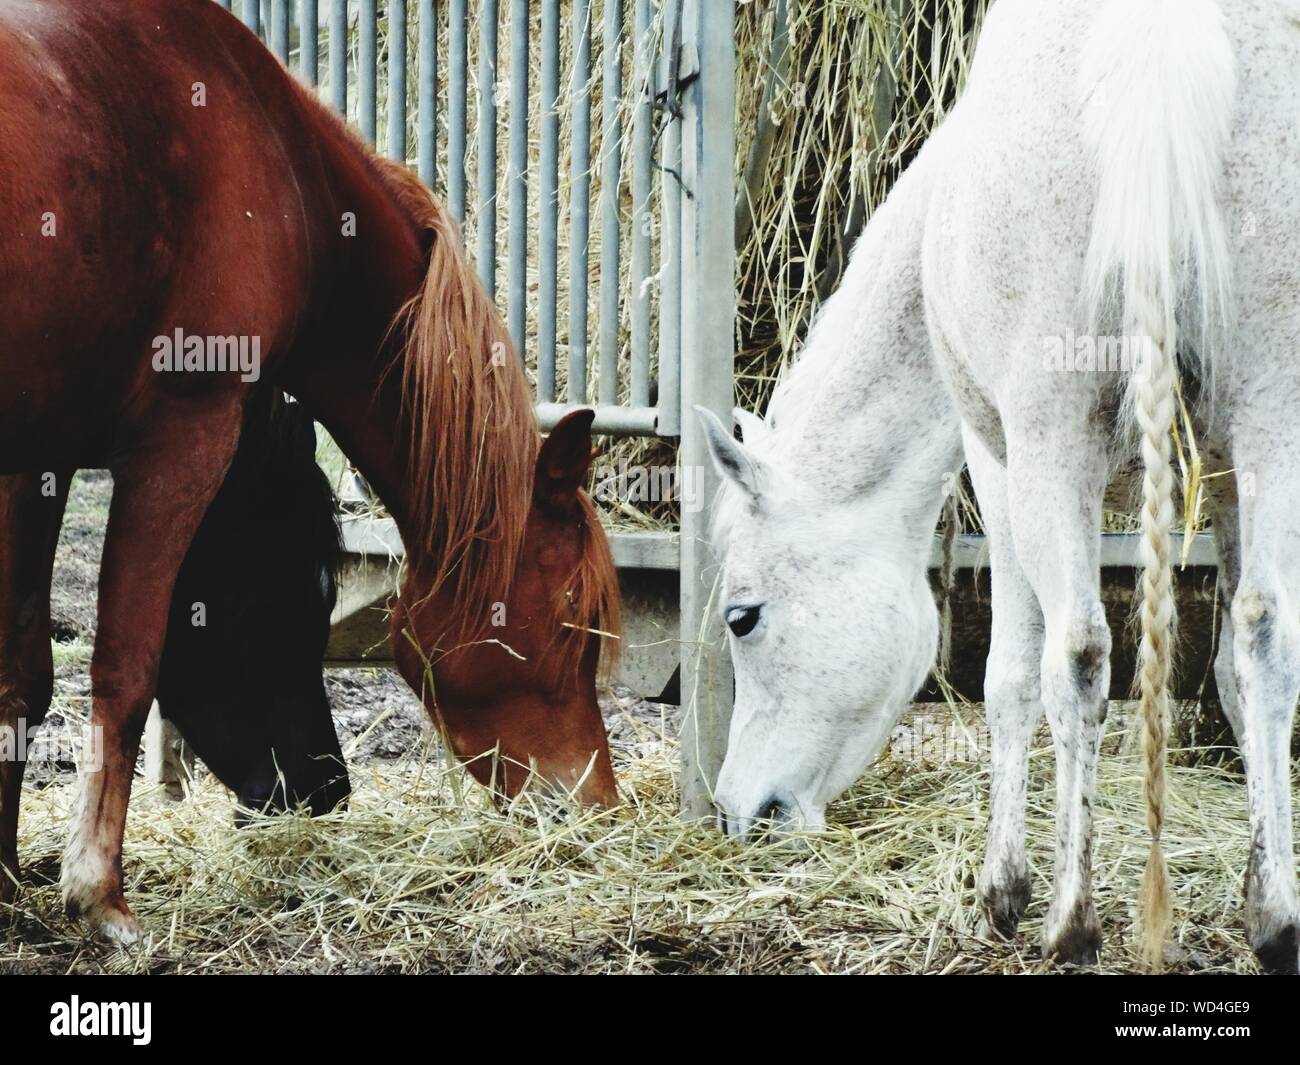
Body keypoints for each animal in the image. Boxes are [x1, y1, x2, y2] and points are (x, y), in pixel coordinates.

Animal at [699, 0, 1299, 973]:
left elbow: (1011, 674)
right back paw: (1277, 921)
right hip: (1273, 411)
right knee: (1265, 635)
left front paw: (1004, 887)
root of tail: (1163, 35)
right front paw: (1260, 888)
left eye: (742, 617)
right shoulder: (1235, 481)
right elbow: (1240, 679)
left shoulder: (996, 452)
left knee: (1080, 651)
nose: (738, 810)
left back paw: (1070, 918)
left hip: (1053, 439)